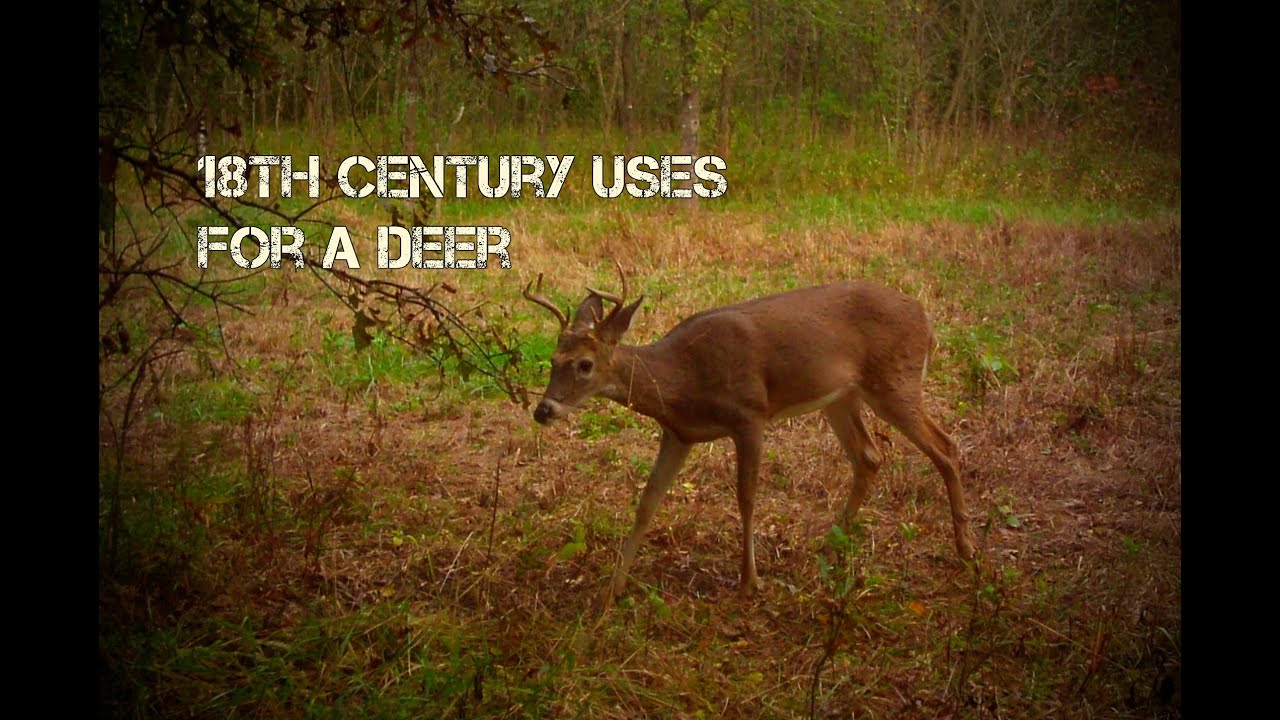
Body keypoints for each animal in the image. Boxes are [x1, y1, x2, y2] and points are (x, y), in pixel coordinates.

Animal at [522, 267, 976, 607]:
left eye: (584, 364)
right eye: (552, 360)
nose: (543, 411)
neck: (681, 380)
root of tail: (927, 321)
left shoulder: (749, 415)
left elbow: (746, 496)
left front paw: (748, 580)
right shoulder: (679, 433)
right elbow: (647, 503)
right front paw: (611, 591)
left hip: (895, 381)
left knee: (946, 447)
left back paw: (966, 549)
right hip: (840, 395)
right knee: (869, 455)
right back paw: (829, 546)